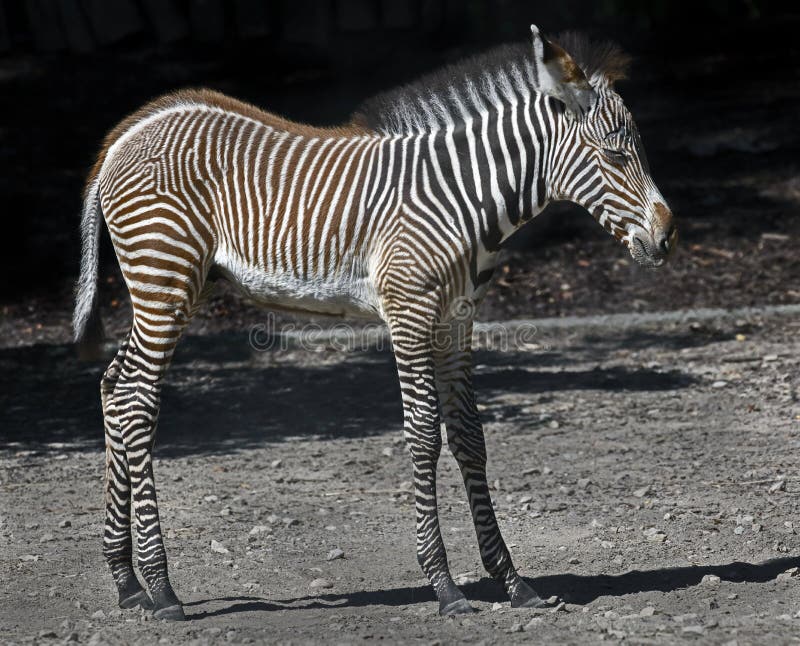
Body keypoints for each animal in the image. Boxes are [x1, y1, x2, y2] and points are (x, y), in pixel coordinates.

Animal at [74, 26, 676, 620]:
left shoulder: (457, 320)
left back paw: (127, 581)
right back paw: (162, 589)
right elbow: (422, 434)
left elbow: (469, 436)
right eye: (615, 155)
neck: (462, 196)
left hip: (170, 287)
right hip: (164, 279)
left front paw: (513, 583)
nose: (667, 238)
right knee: (136, 400)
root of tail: (123, 136)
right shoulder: (409, 310)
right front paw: (444, 586)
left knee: (114, 388)